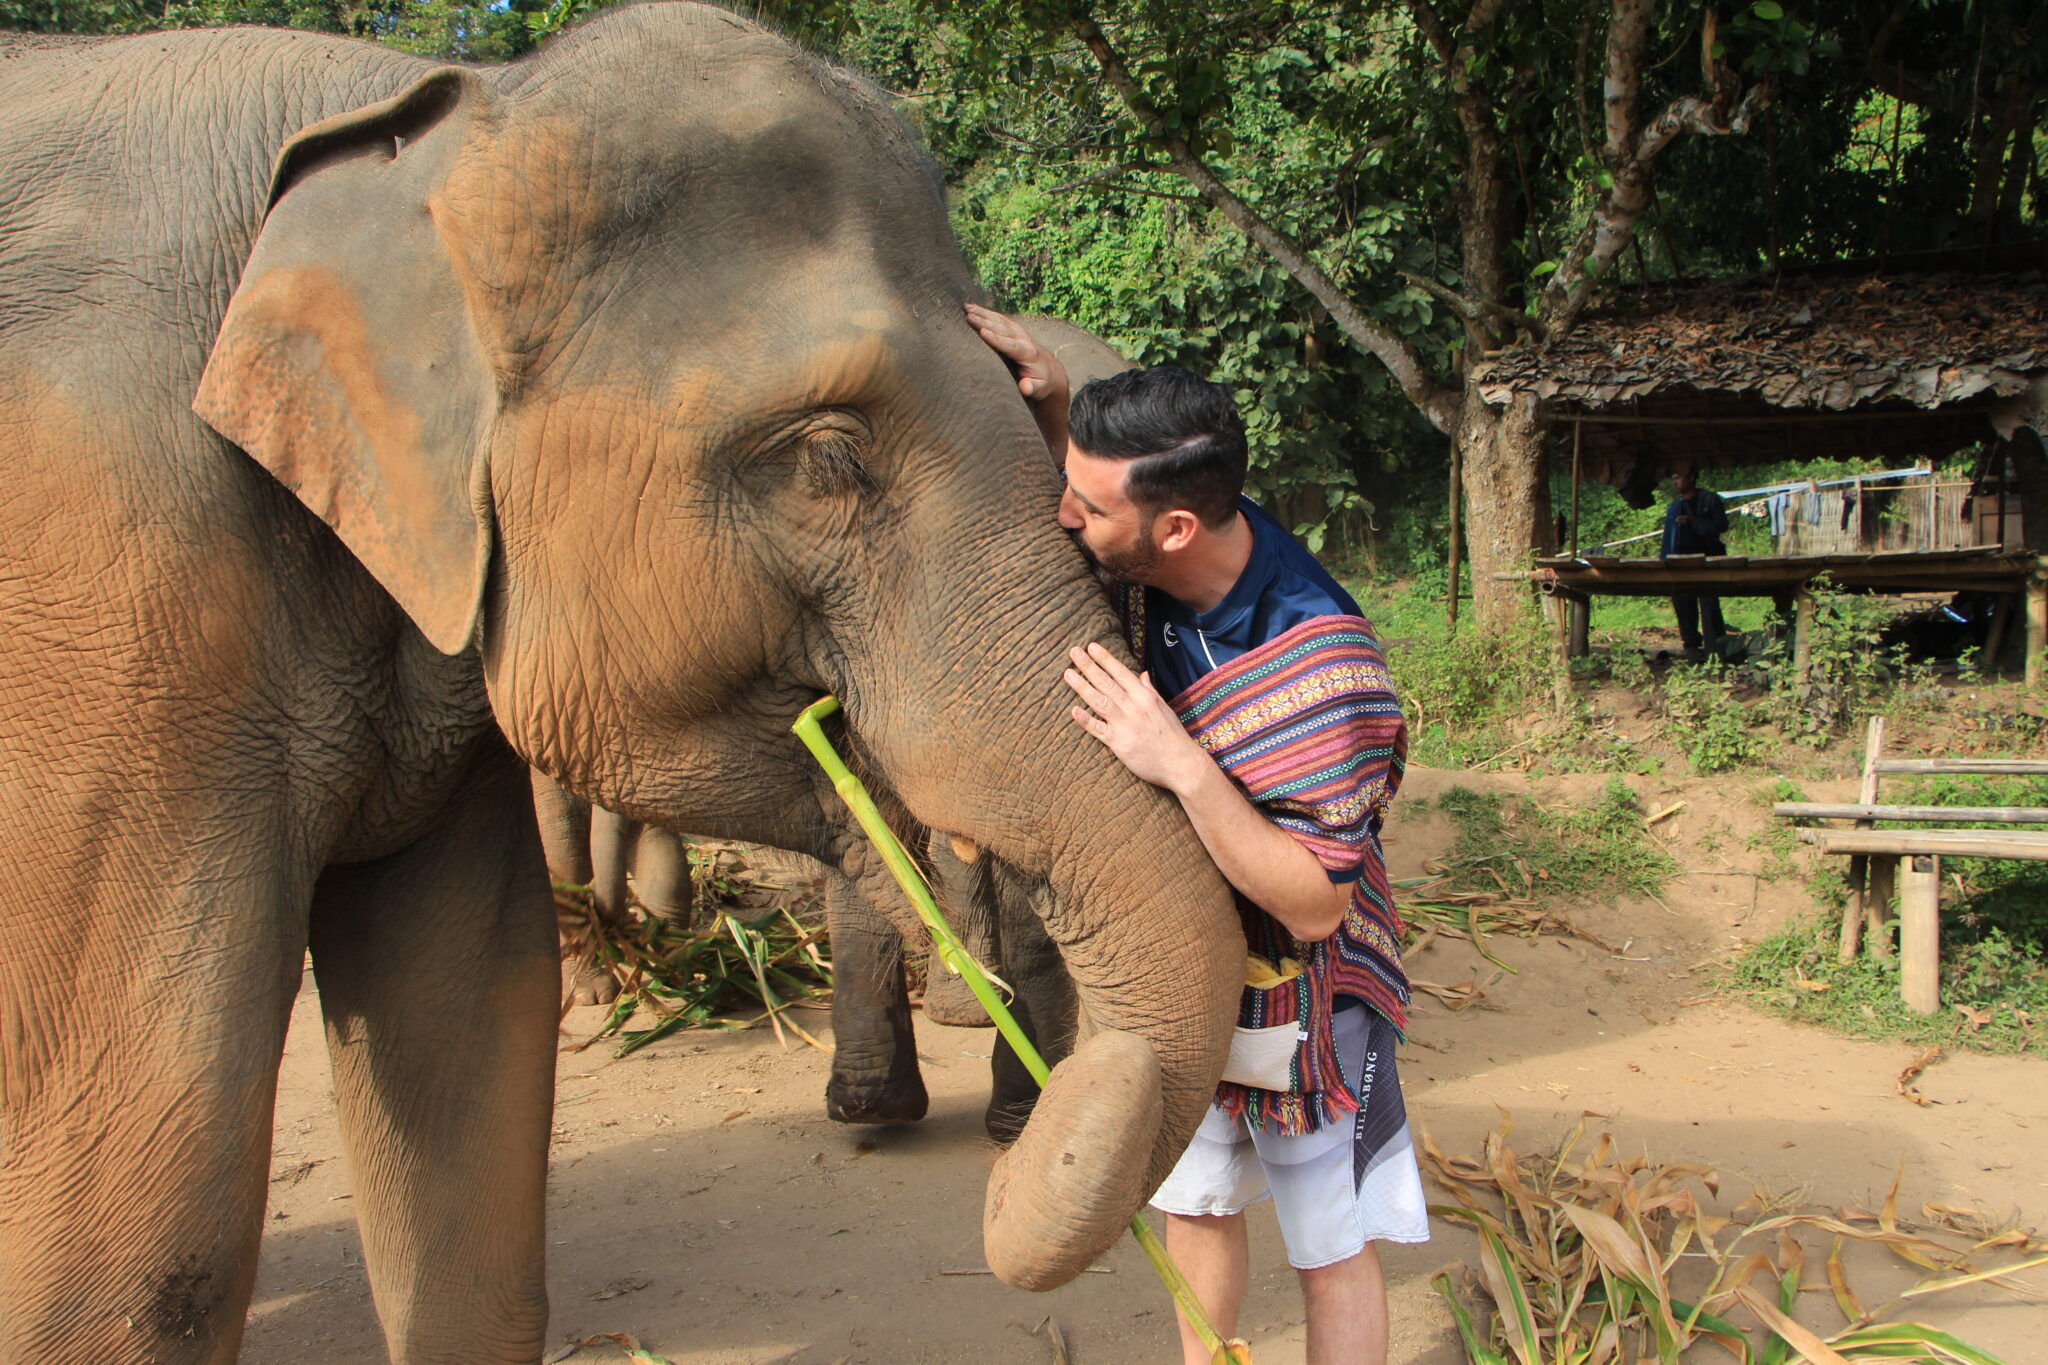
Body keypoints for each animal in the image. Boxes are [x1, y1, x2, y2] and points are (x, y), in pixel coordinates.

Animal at [0, 8, 1242, 1363]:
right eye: (827, 457)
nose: (1040, 1151)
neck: (436, 122)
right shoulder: (120, 597)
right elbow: (146, 1171)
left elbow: (468, 1045)